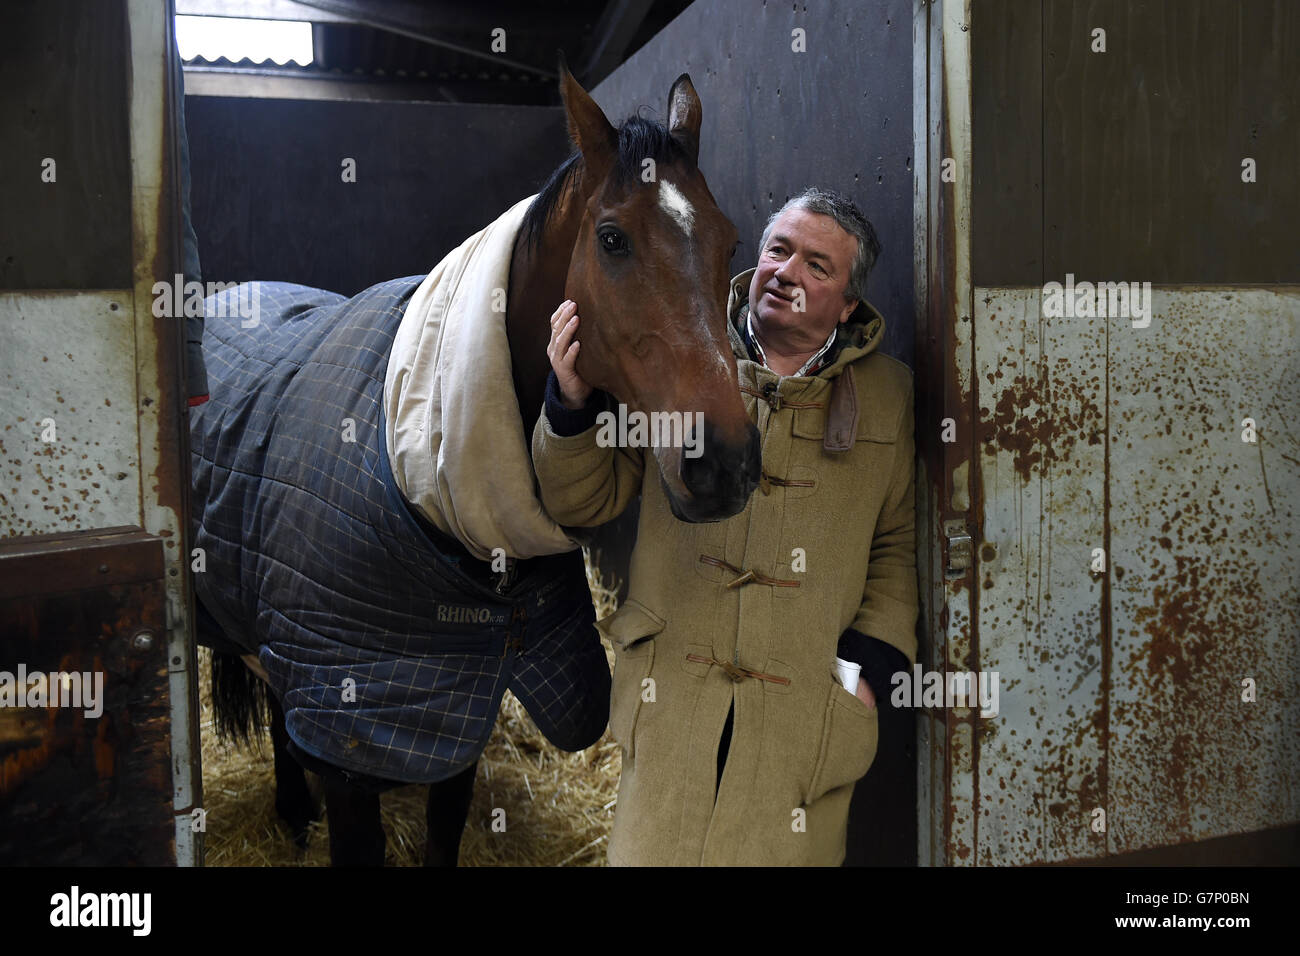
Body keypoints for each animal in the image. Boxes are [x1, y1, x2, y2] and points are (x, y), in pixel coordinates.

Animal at [192, 62, 762, 866]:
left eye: (729, 242)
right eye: (612, 238)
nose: (726, 463)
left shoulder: (463, 692)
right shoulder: (348, 715)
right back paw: (294, 810)